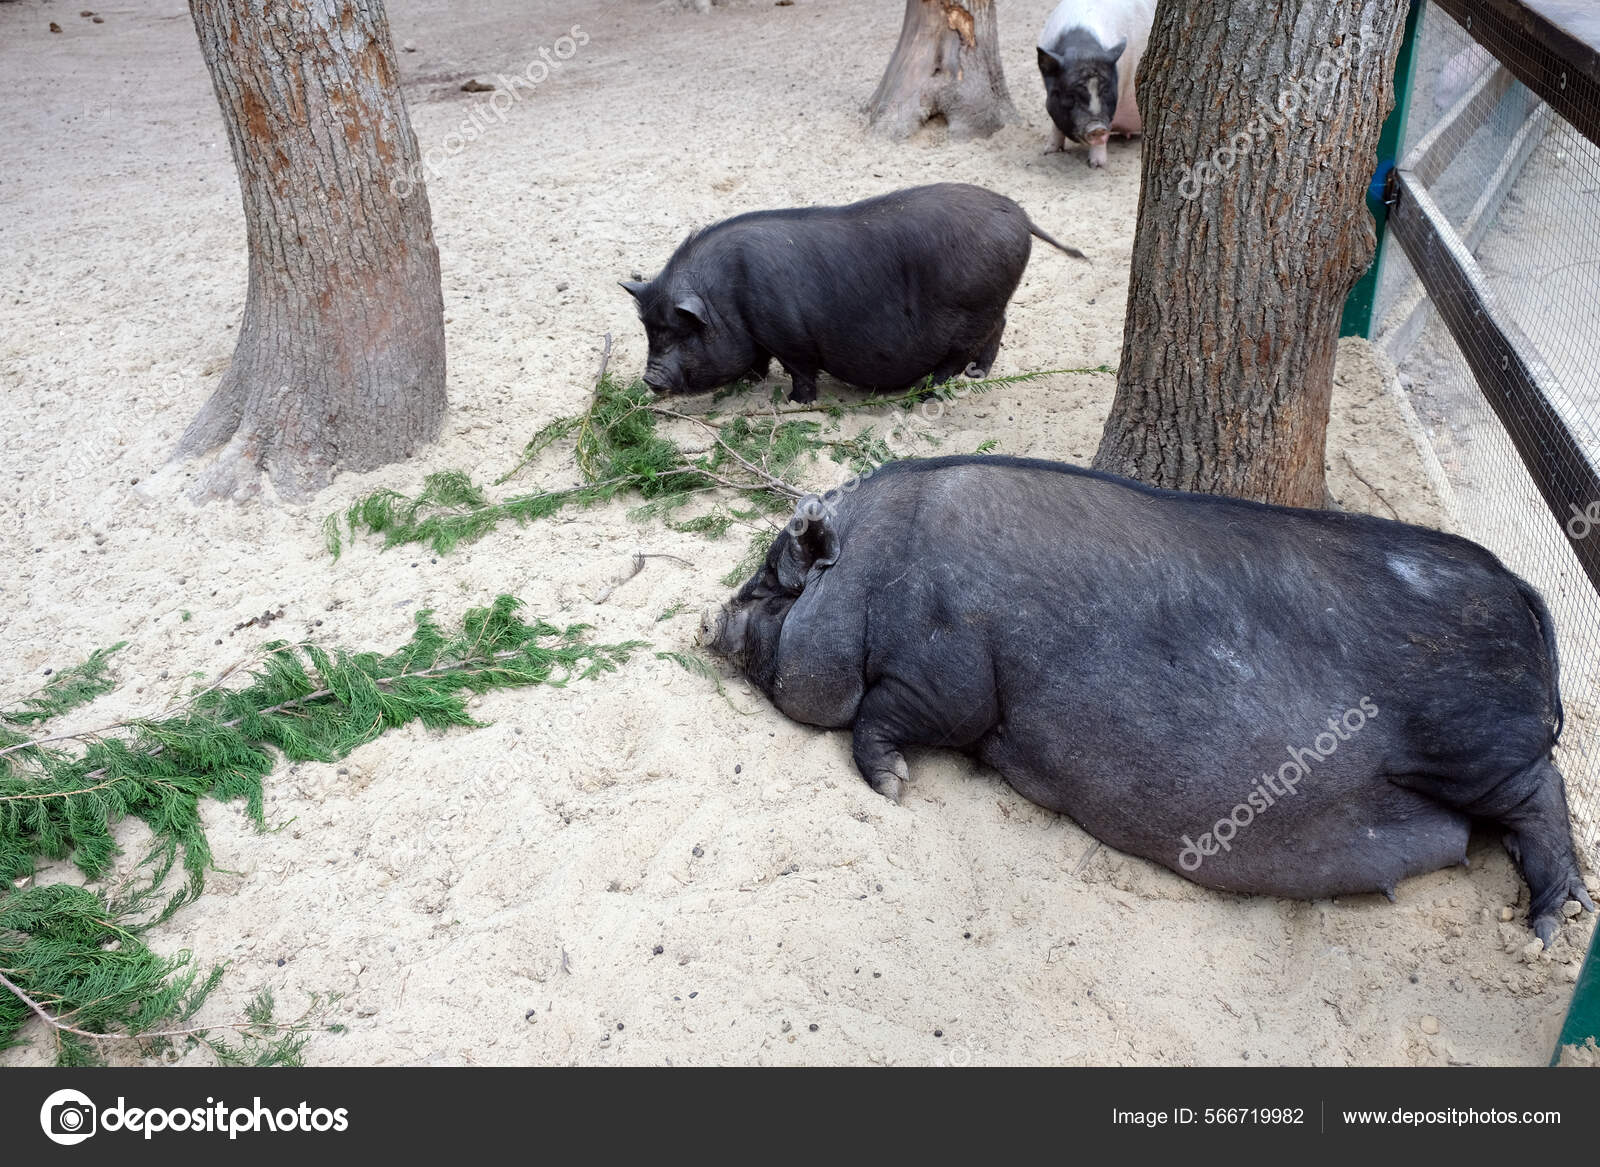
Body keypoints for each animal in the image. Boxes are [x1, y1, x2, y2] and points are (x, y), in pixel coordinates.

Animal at [620, 183, 1085, 405]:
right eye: (650, 332)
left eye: (681, 334)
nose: (650, 378)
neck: (727, 301)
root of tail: (1021, 215)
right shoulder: (760, 338)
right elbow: (758, 360)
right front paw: (752, 382)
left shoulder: (789, 337)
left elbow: (800, 371)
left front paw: (793, 402)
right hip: (992, 303)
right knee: (1000, 326)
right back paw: (978, 375)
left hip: (974, 308)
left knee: (959, 354)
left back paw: (929, 392)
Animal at [699, 454, 1595, 946]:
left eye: (774, 583)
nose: (709, 617)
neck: (877, 577)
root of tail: (1519, 587)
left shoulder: (951, 676)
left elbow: (884, 720)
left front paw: (892, 787)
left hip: (1472, 738)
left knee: (1543, 791)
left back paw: (1553, 926)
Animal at [1037, 0, 1156, 167]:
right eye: (1070, 95)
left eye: (1106, 90)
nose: (1097, 128)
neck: (1082, 48)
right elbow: (1055, 124)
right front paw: (1049, 151)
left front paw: (1096, 165)